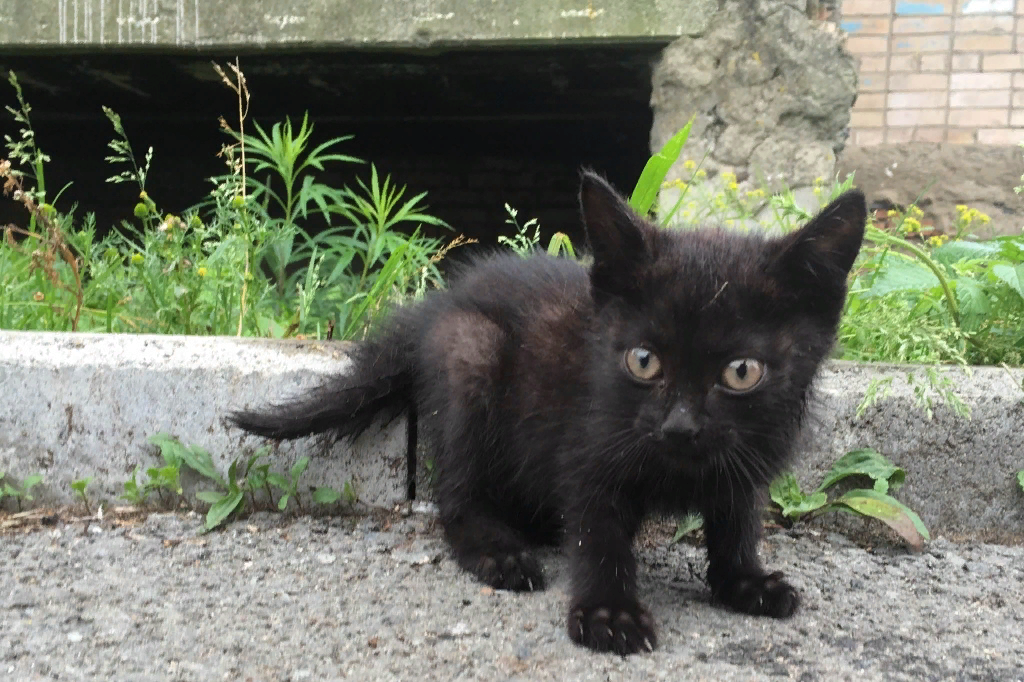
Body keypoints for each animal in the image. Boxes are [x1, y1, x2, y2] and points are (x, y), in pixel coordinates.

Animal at [230, 169, 864, 655]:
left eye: (742, 372)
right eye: (643, 360)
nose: (680, 426)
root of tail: (437, 307)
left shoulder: (746, 459)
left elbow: (737, 520)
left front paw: (744, 581)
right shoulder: (587, 449)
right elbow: (601, 534)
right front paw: (609, 612)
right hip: (470, 353)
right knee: (456, 496)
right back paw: (500, 550)